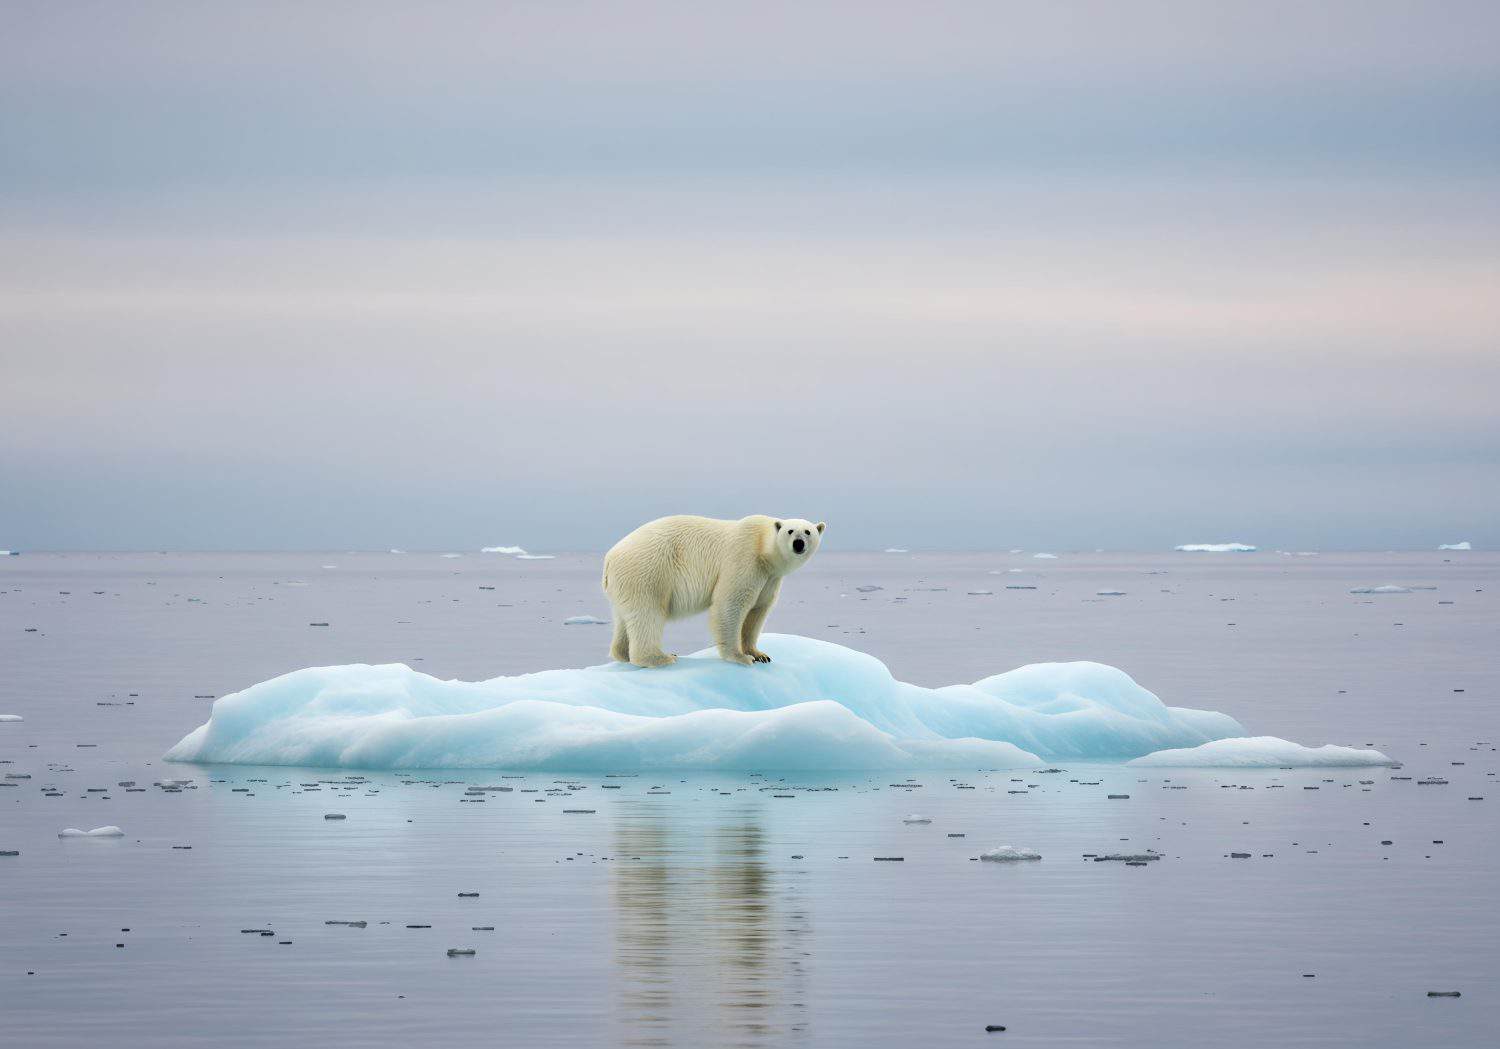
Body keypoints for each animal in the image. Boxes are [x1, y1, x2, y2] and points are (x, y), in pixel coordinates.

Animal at [602, 515, 825, 667]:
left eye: (808, 532)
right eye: (790, 531)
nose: (798, 544)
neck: (763, 546)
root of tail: (610, 557)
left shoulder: (770, 578)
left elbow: (758, 610)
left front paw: (760, 654)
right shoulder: (745, 559)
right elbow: (730, 604)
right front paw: (740, 657)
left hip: (624, 582)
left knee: (624, 617)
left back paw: (623, 653)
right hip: (647, 571)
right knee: (648, 613)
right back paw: (661, 658)